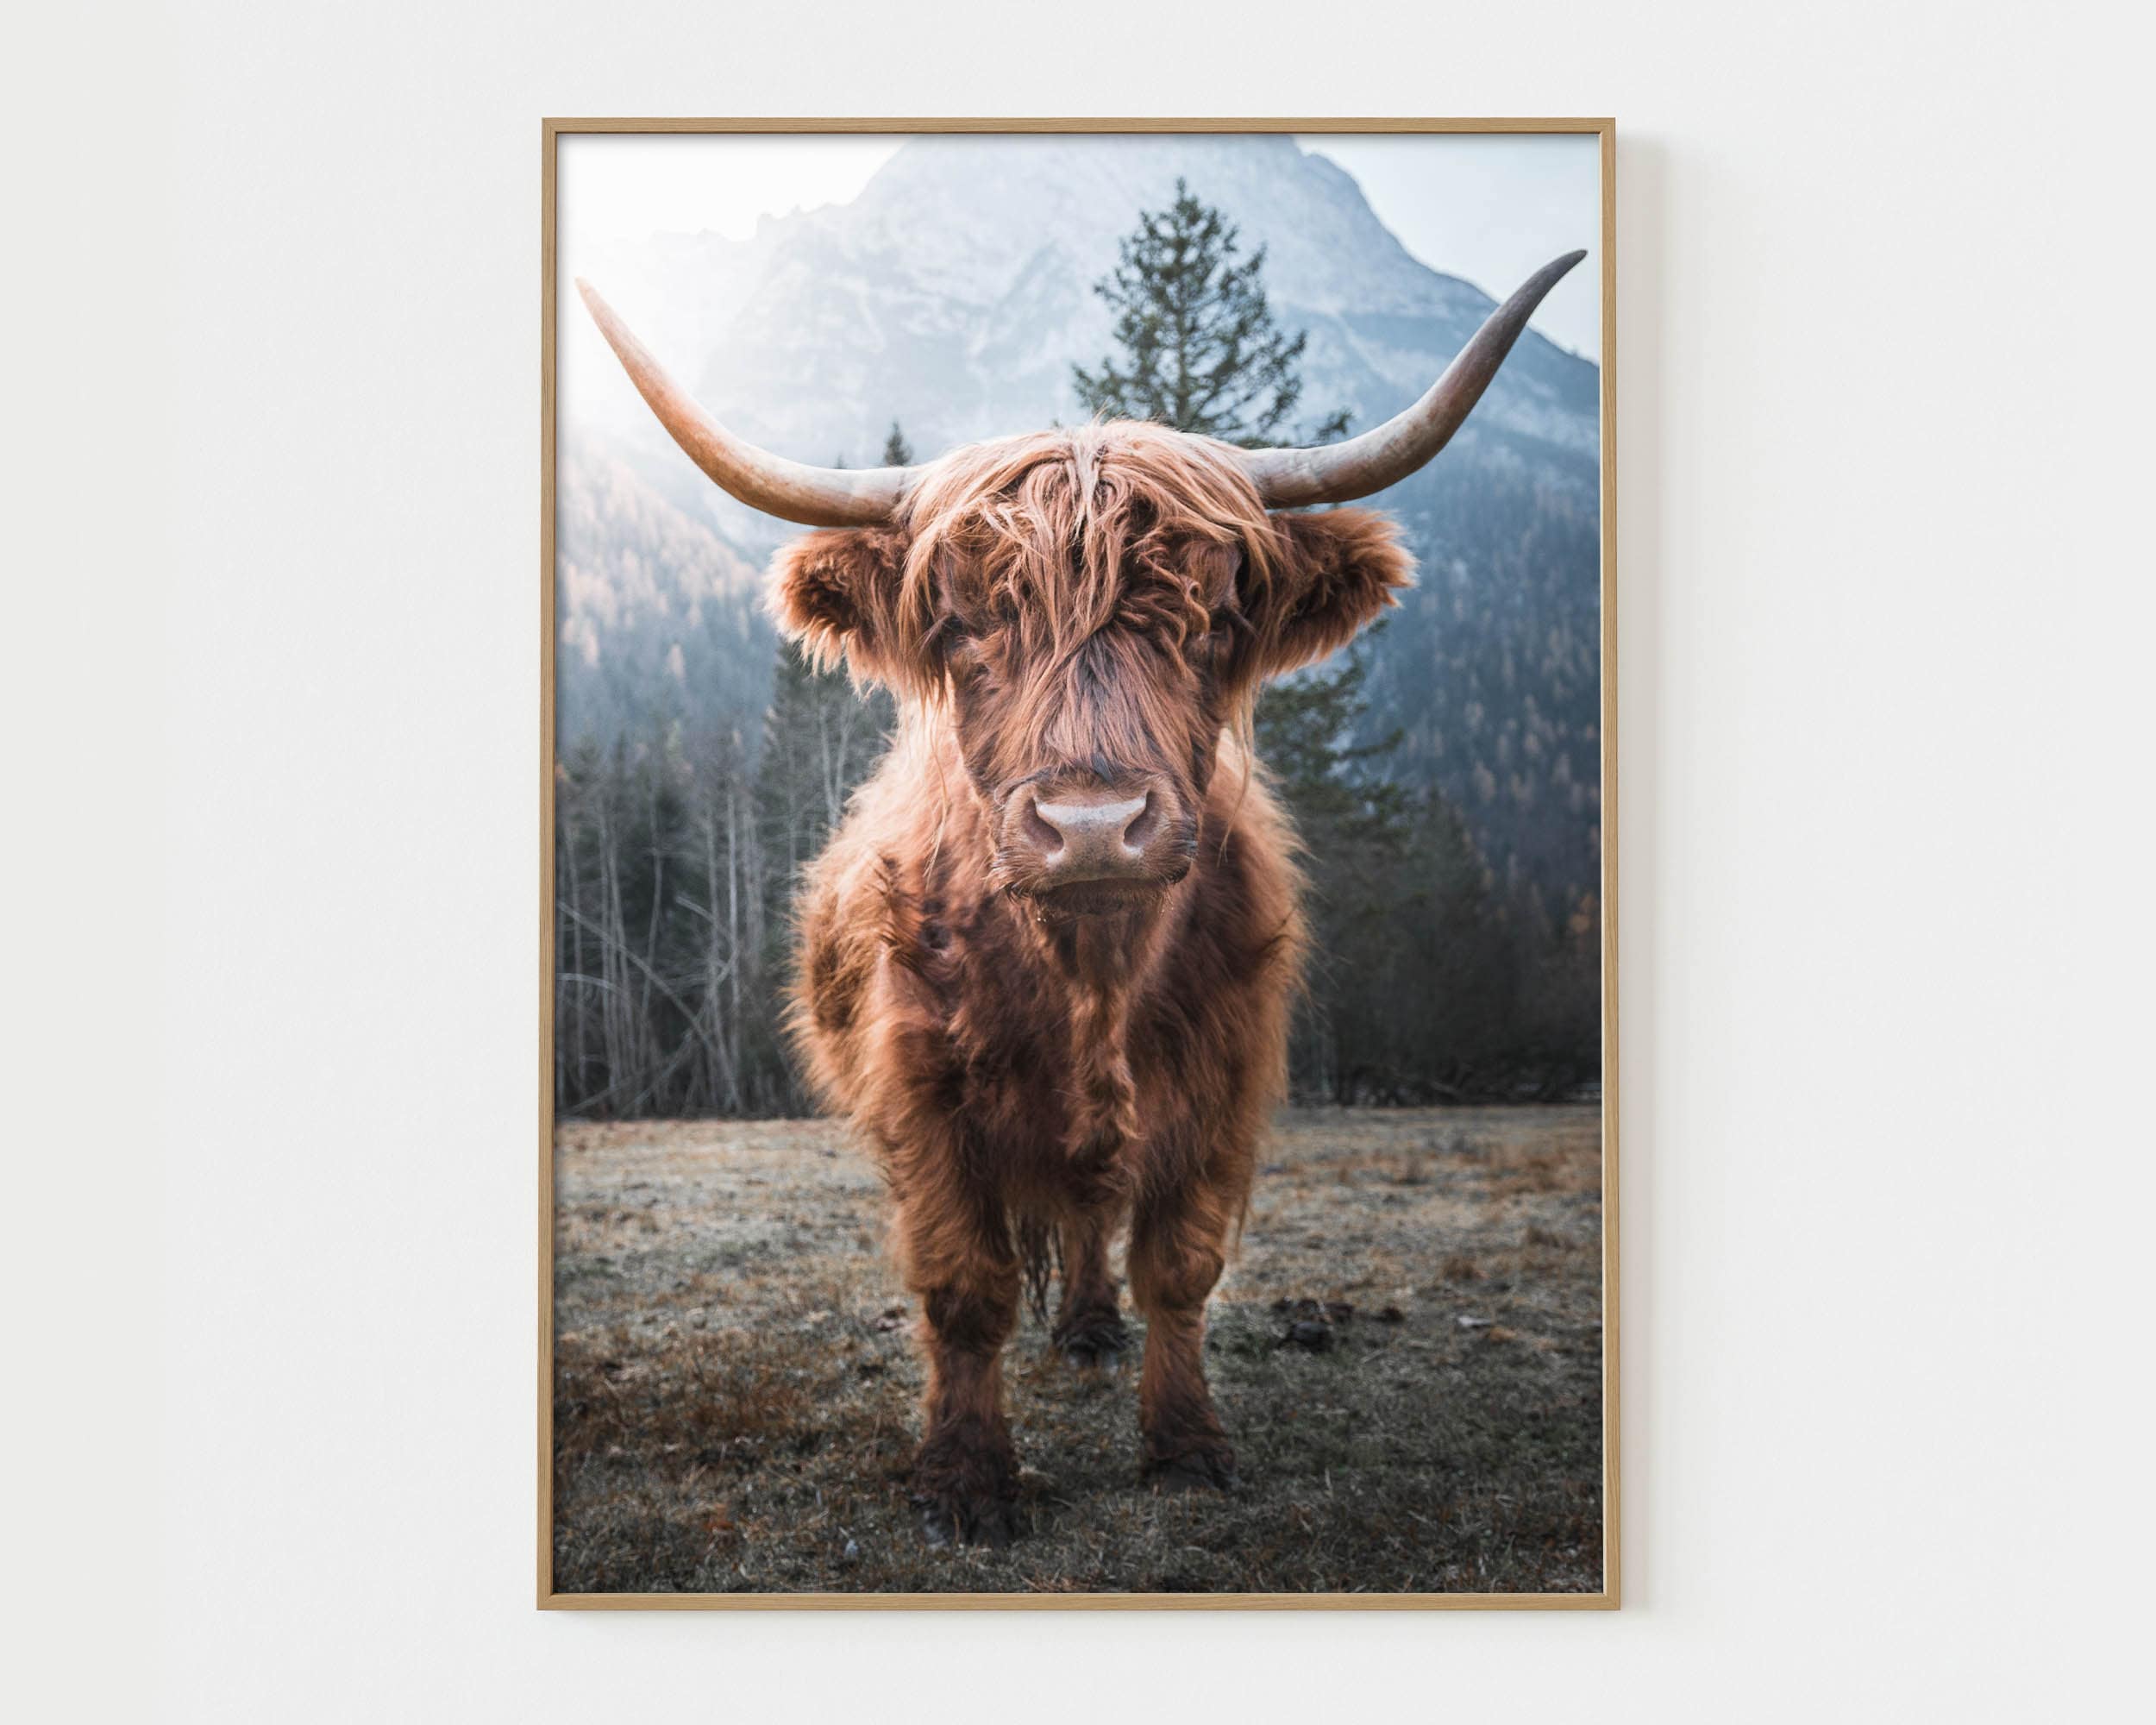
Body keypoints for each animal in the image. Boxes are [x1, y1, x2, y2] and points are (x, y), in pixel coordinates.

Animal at [577, 249, 1583, 1545]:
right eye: (962, 623)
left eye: (1212, 616)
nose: (1094, 827)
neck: (1089, 976)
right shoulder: (923, 1093)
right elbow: (964, 1286)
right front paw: (965, 1478)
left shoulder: (1222, 1079)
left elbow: (1180, 1266)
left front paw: (1187, 1446)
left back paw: (1094, 1328)